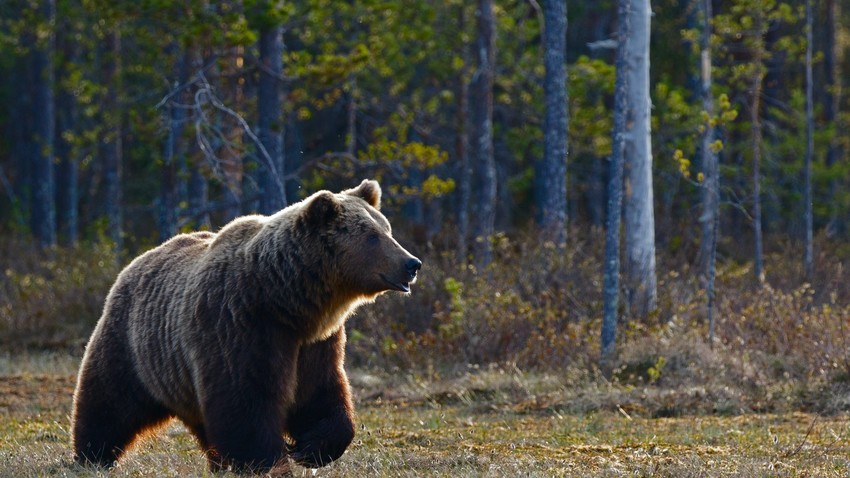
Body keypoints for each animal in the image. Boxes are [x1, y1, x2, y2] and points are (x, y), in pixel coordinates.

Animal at [71, 179, 421, 473]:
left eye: (387, 229)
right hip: (134, 345)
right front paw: (268, 460)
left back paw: (217, 462)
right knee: (108, 400)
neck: (287, 301)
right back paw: (92, 455)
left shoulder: (315, 343)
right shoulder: (240, 325)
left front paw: (310, 448)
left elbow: (320, 393)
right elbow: (246, 399)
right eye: (372, 236)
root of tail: (136, 261)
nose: (412, 263)